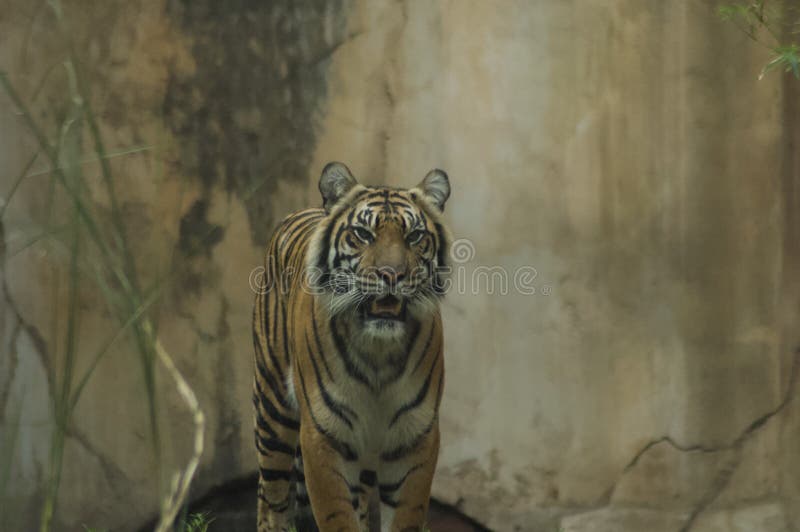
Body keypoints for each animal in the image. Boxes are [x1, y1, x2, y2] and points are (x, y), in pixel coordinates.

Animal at [252, 162, 452, 532]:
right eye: (363, 234)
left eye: (414, 237)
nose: (391, 274)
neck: (378, 352)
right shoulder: (323, 435)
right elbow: (337, 516)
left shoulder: (415, 438)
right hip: (273, 409)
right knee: (270, 497)